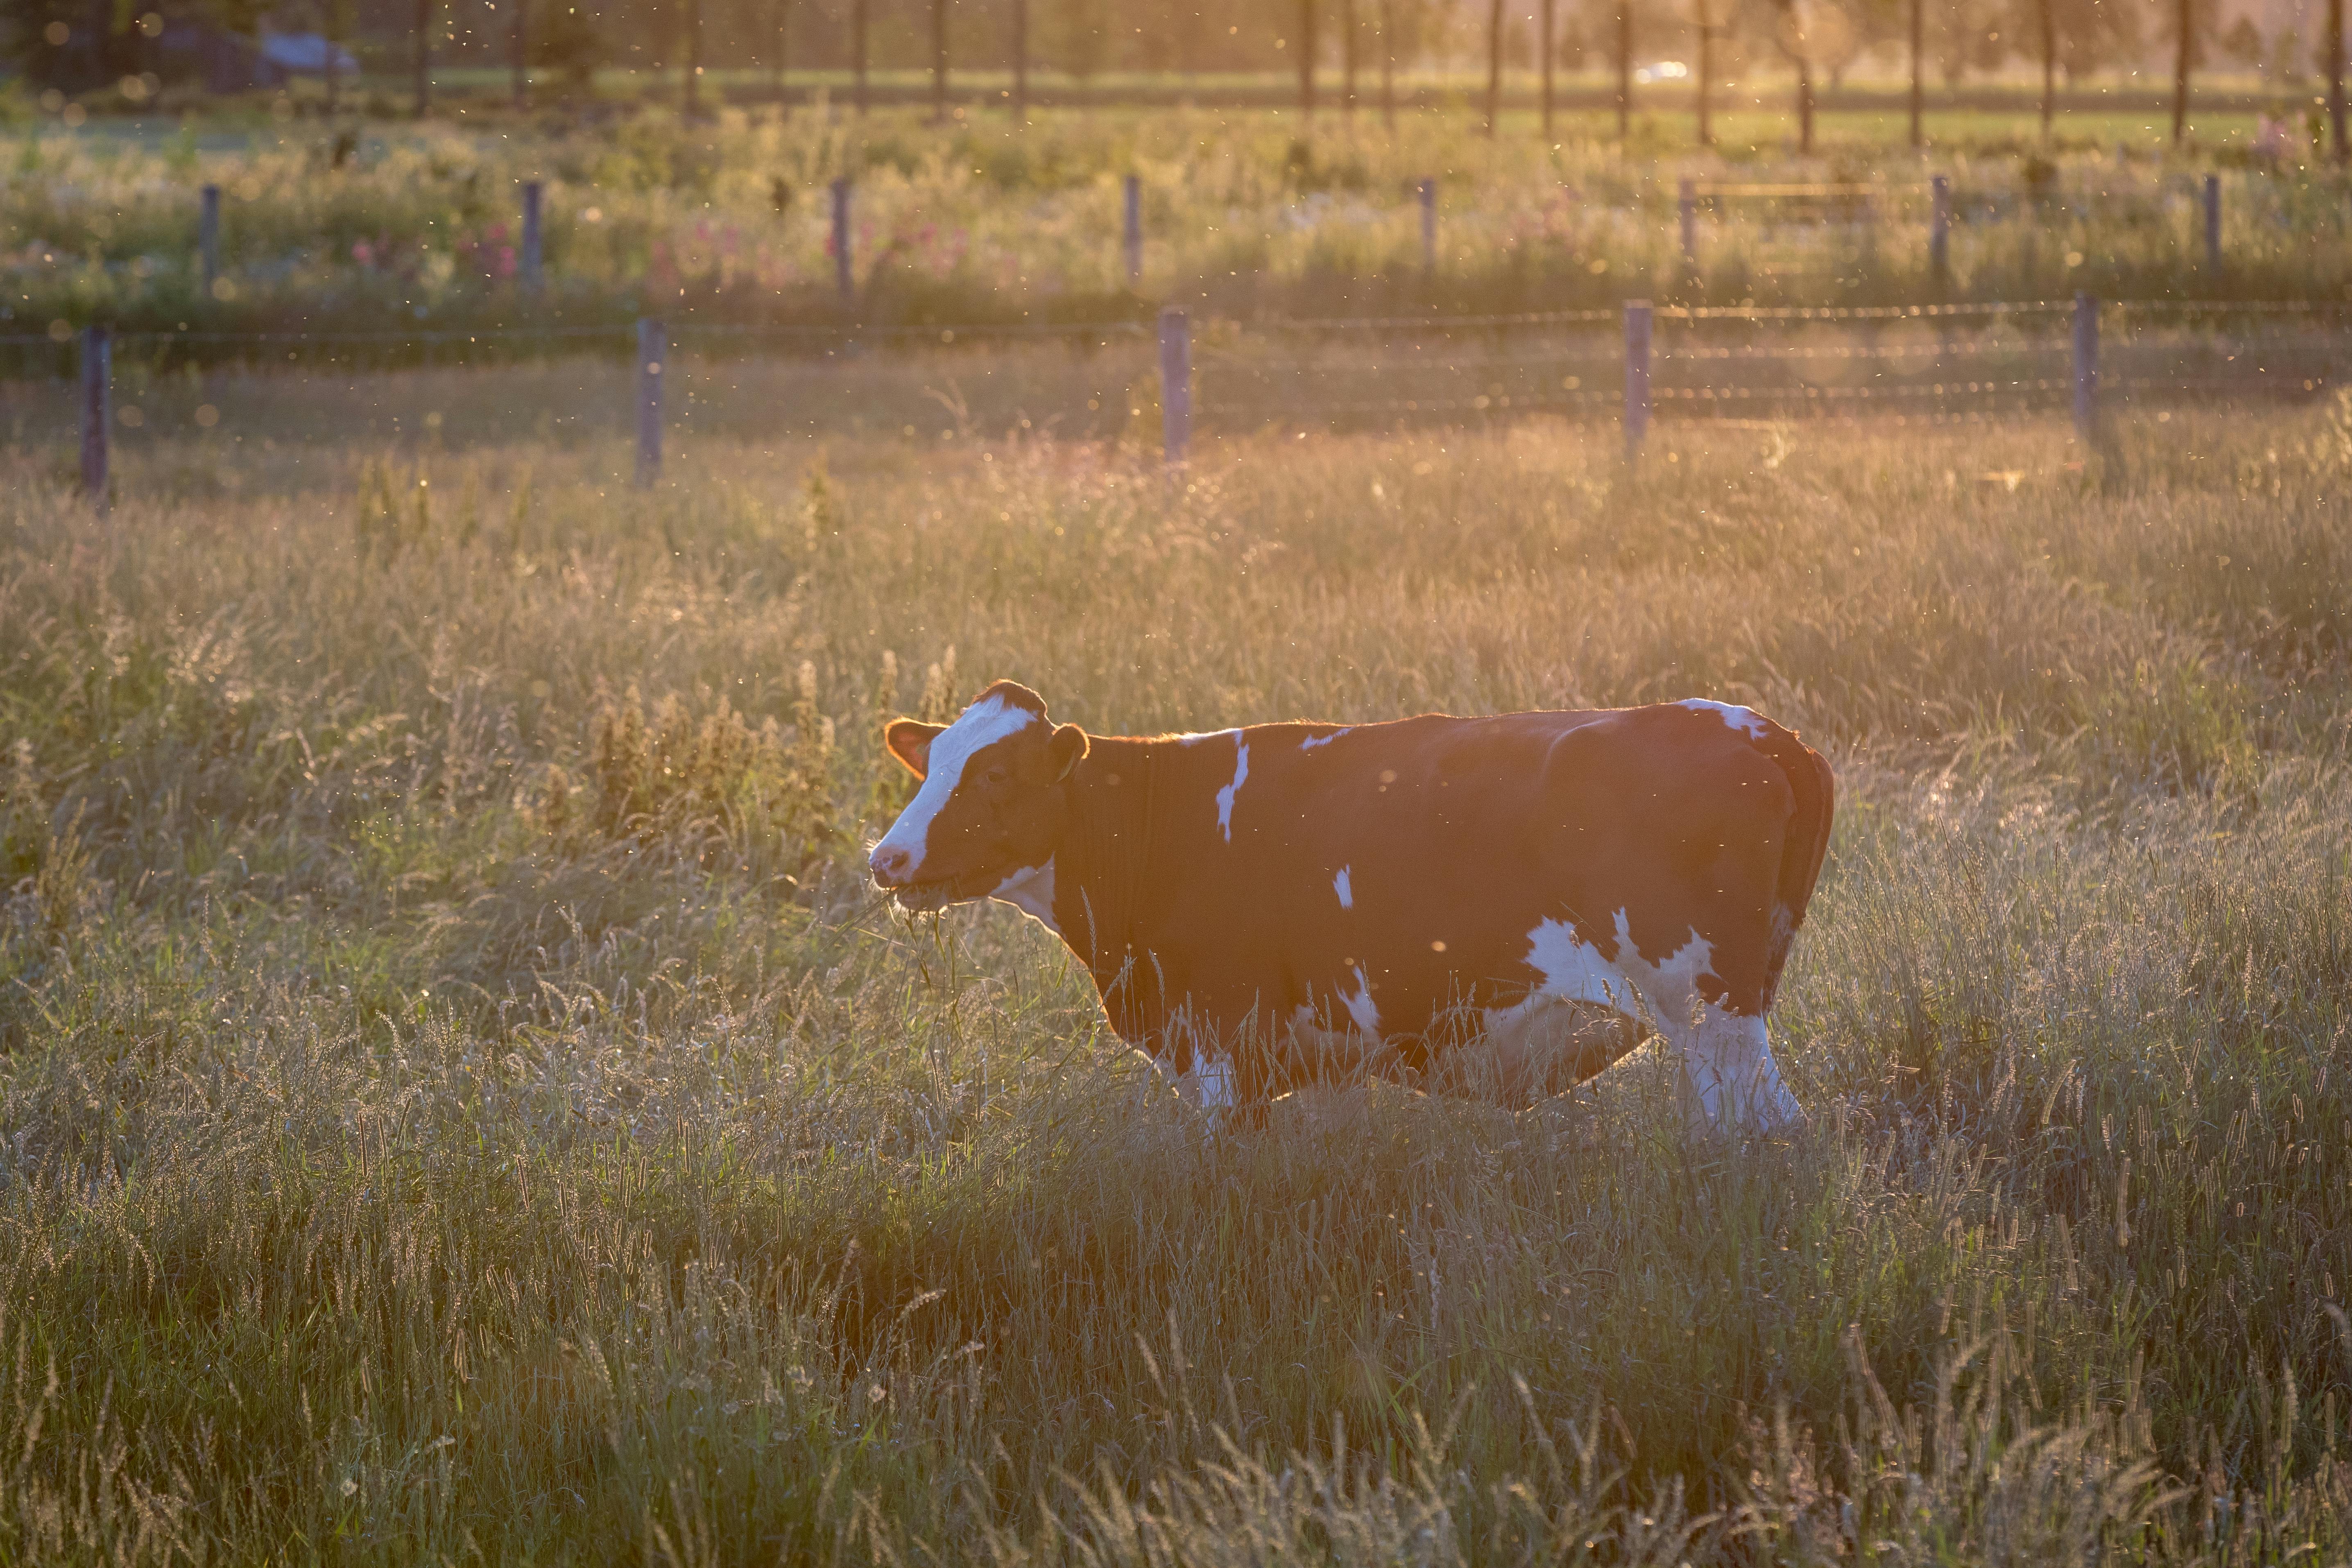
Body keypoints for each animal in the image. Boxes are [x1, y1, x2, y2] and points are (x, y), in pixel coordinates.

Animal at [867, 680, 1834, 1131]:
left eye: (994, 774)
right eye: (930, 764)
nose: (887, 857)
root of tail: (1755, 728)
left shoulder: (1219, 1050)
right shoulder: (1323, 1060)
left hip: (1711, 1011)